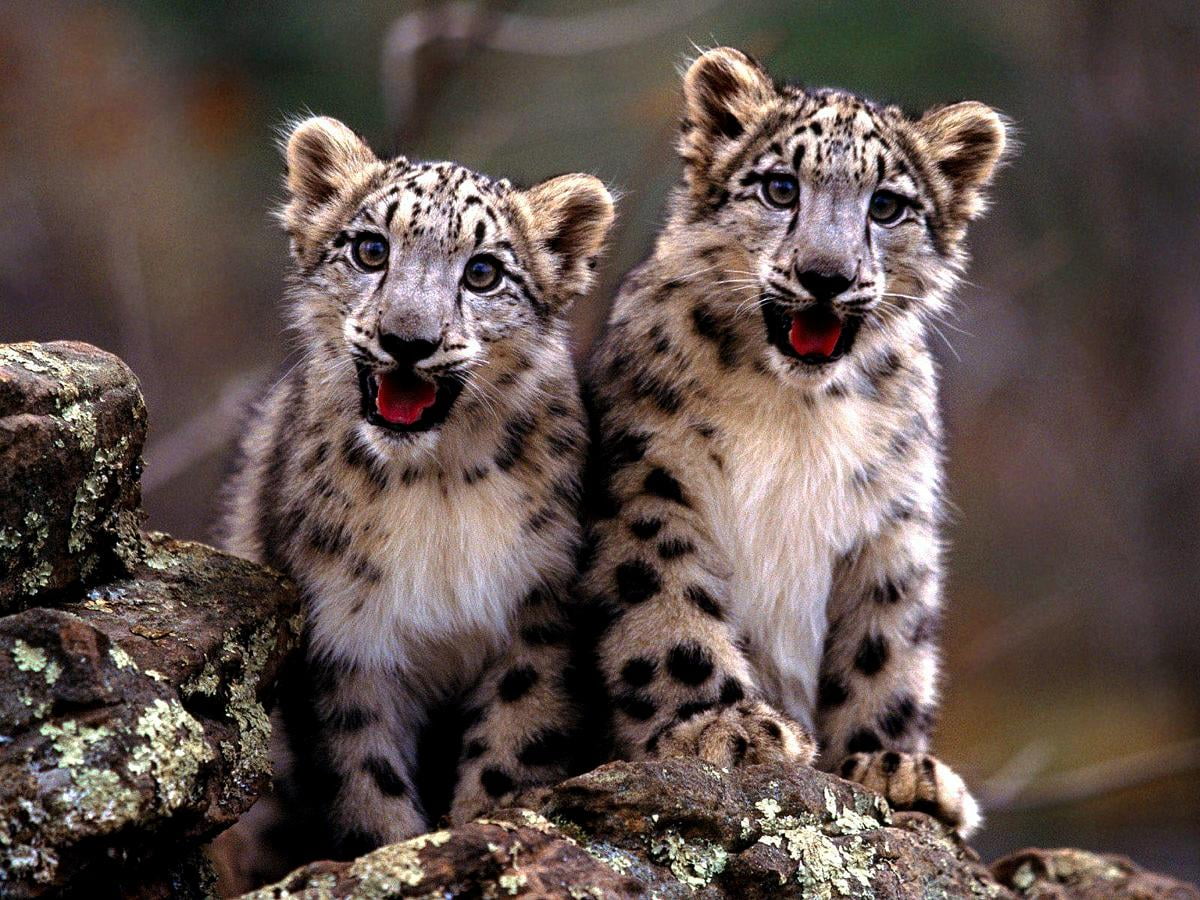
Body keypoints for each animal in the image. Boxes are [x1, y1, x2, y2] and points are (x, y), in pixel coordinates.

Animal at [212, 115, 614, 887]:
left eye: (483, 272)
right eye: (371, 249)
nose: (407, 340)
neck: (436, 488)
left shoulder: (537, 613)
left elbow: (512, 746)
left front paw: (483, 829)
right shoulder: (344, 637)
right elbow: (365, 779)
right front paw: (393, 855)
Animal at [580, 47, 1010, 837]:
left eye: (887, 205)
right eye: (781, 187)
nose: (826, 275)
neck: (795, 413)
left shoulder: (892, 519)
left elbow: (885, 643)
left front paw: (893, 765)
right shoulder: (648, 482)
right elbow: (666, 604)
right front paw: (721, 727)